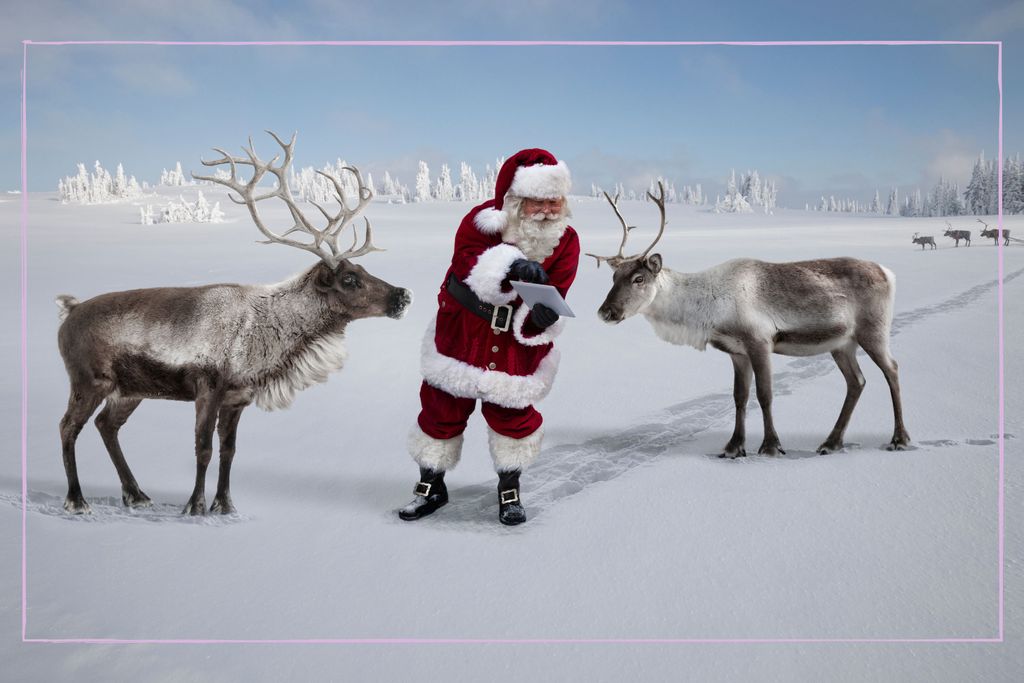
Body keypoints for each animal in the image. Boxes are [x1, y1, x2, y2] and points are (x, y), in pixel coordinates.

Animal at [56, 131, 412, 515]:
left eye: (362, 269)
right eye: (349, 279)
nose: (403, 295)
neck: (263, 342)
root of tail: (68, 311)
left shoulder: (238, 398)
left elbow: (229, 451)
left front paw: (225, 505)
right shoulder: (207, 387)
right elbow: (203, 449)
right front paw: (195, 506)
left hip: (129, 390)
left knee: (106, 426)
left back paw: (135, 494)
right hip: (89, 380)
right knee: (68, 427)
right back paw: (76, 499)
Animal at [590, 182, 910, 458]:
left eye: (638, 278)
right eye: (614, 276)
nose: (605, 312)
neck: (707, 310)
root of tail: (889, 273)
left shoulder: (760, 341)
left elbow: (764, 394)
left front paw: (770, 446)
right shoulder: (736, 352)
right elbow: (739, 397)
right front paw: (733, 447)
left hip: (873, 331)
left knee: (892, 370)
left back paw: (899, 438)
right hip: (842, 343)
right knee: (857, 381)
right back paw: (831, 443)